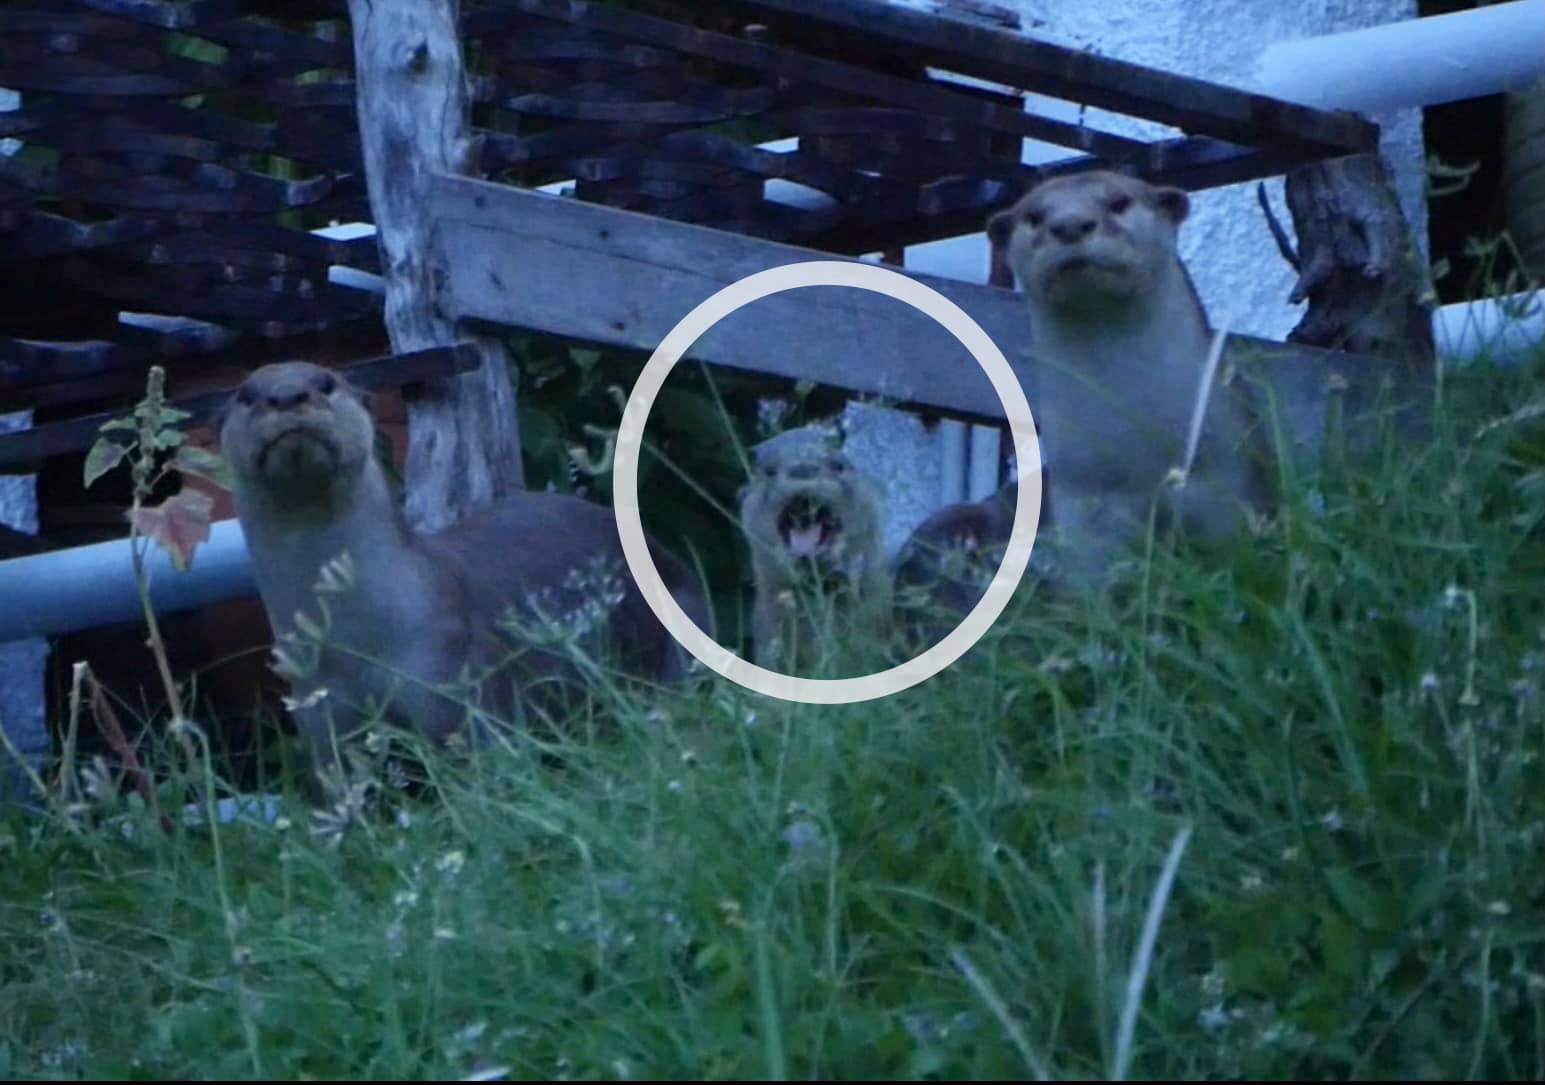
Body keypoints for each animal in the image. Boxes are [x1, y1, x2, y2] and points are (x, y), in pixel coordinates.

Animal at [218, 361, 710, 782]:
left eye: (325, 382)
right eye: (246, 394)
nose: (286, 396)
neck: (357, 642)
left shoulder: (454, 687)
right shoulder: (323, 722)